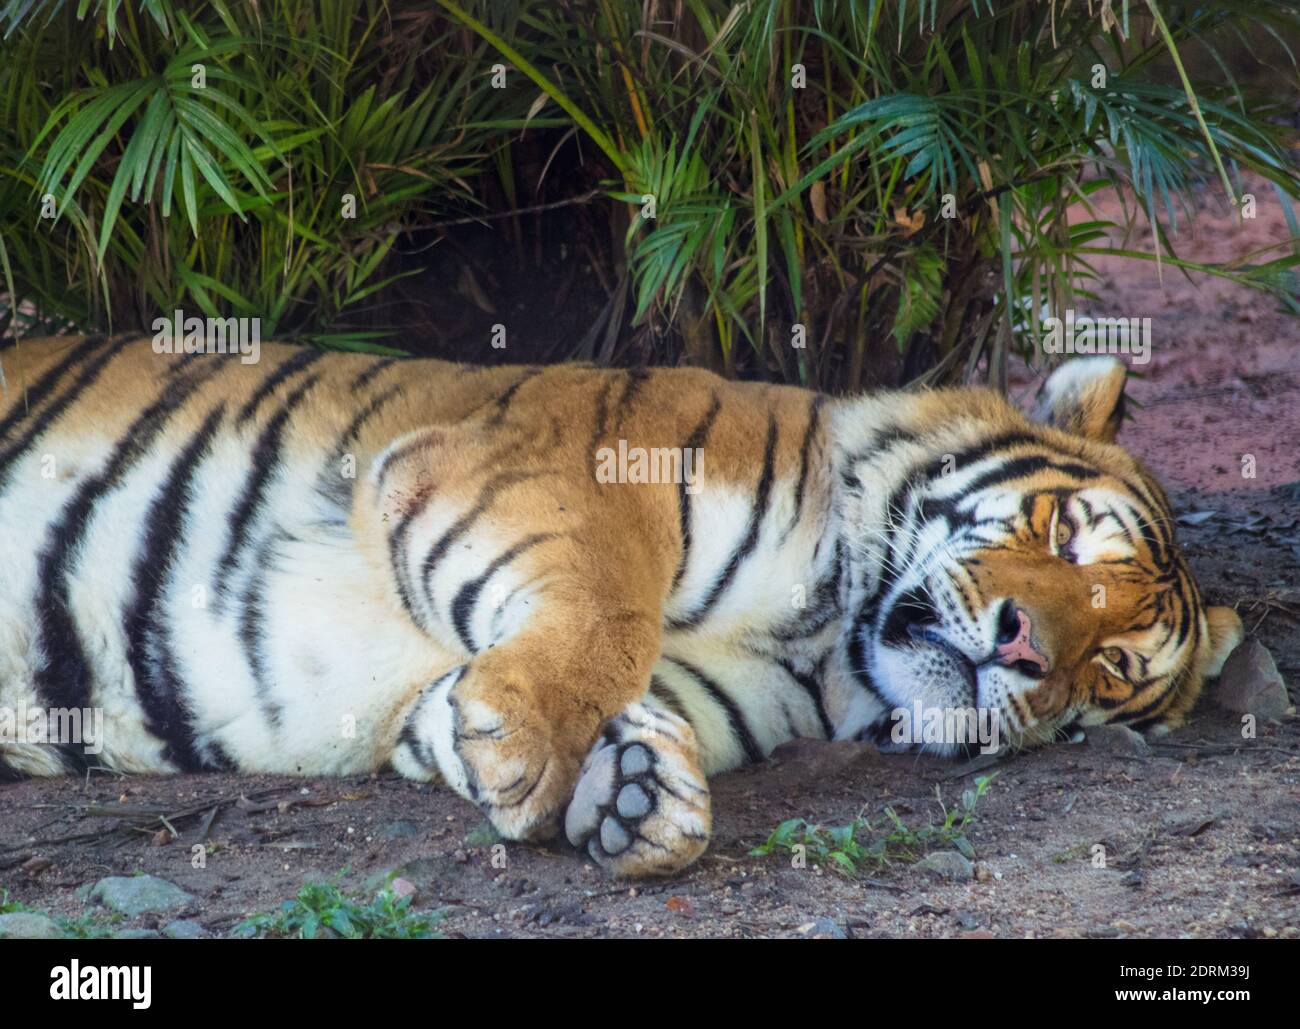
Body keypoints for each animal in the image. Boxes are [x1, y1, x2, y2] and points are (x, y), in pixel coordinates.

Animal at [0, 334, 1242, 877]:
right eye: (1064, 535)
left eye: (1107, 671)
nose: (1026, 650)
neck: (824, 641)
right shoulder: (554, 472)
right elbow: (610, 609)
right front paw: (534, 745)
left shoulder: (416, 692)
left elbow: (601, 701)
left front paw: (639, 795)